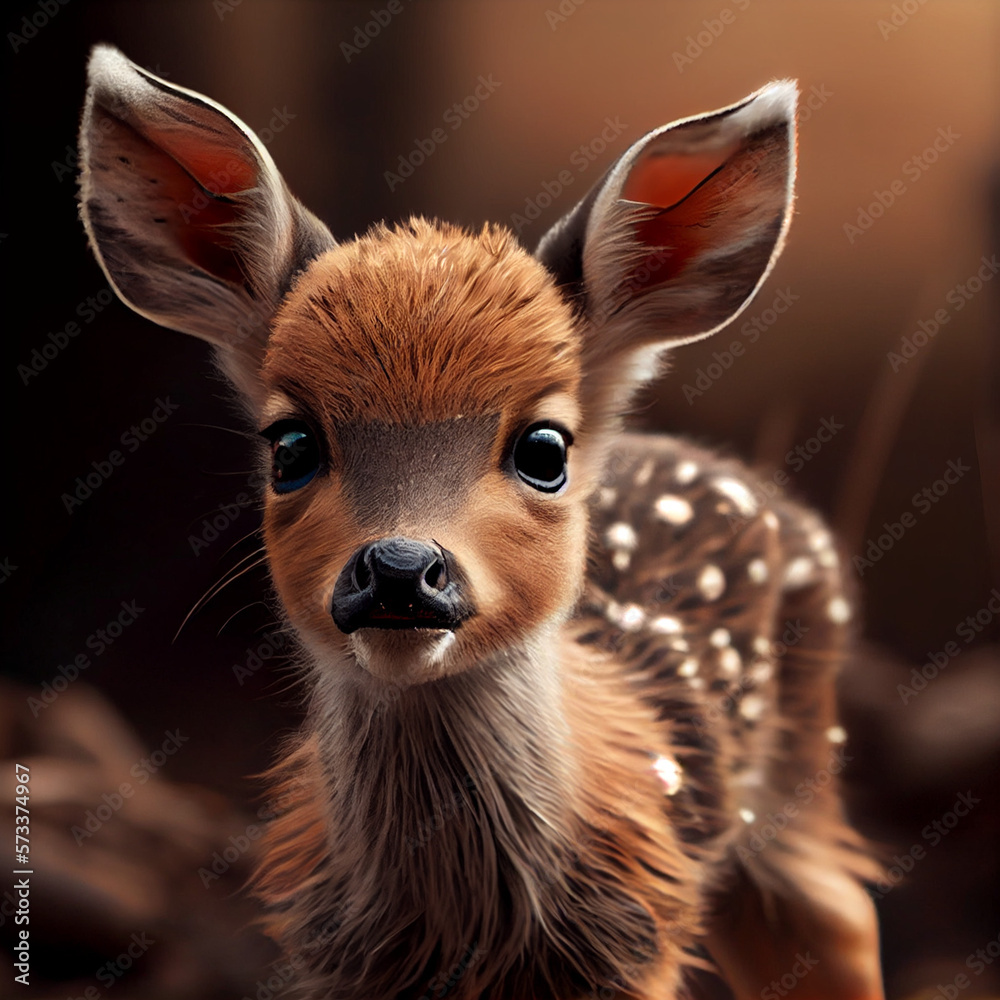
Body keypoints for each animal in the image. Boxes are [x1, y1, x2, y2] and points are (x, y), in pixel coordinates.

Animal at [78, 45, 884, 1000]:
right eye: (291, 444)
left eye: (545, 448)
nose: (398, 566)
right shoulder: (331, 954)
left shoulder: (636, 939)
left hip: (800, 773)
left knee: (843, 917)